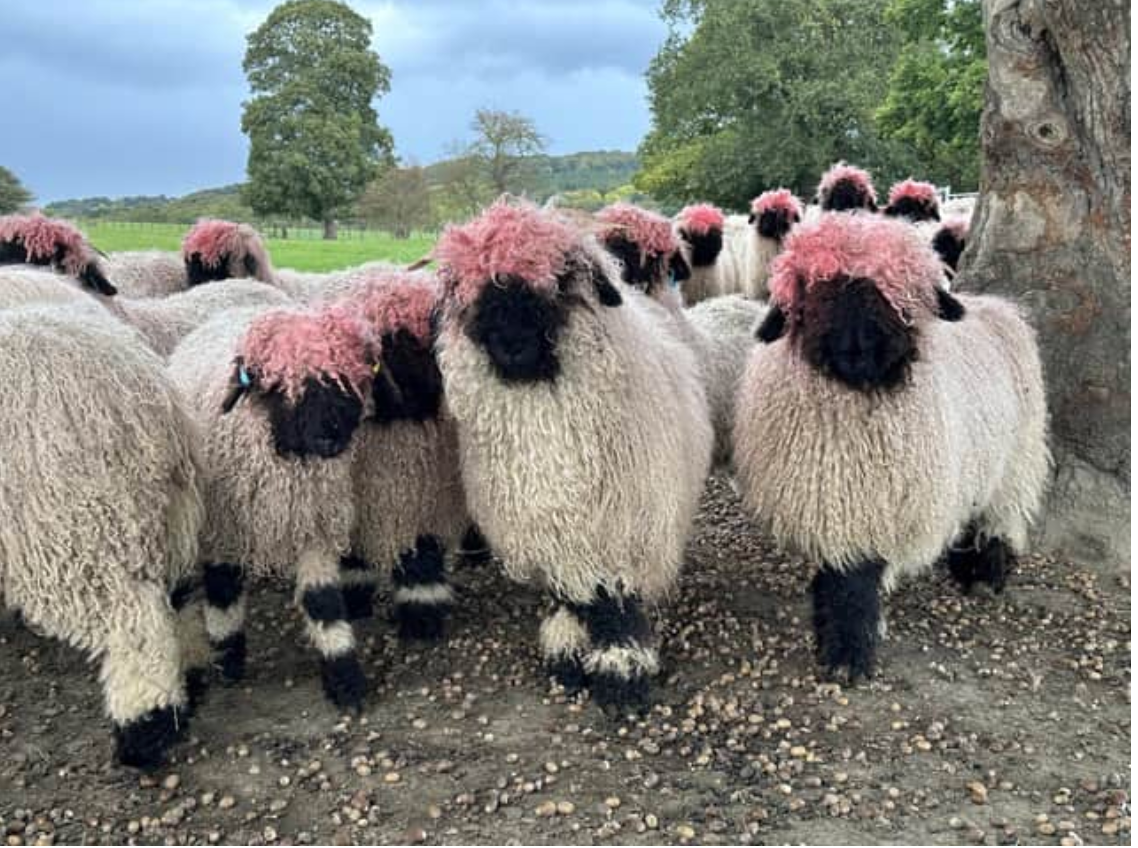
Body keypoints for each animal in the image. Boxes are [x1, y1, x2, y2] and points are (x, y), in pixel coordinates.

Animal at [167, 304, 380, 710]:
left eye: (345, 380)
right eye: (280, 388)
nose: (331, 438)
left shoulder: (315, 526)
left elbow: (322, 602)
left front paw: (345, 679)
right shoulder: (224, 528)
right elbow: (222, 589)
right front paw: (228, 657)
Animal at [323, 272, 469, 638]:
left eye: (413, 343)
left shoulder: (424, 505)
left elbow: (420, 566)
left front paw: (422, 624)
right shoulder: (357, 511)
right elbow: (353, 562)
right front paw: (355, 604)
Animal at [433, 199, 713, 709]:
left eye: (560, 280)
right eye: (472, 290)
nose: (511, 343)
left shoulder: (625, 523)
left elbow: (615, 598)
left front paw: (621, 668)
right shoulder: (550, 524)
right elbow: (575, 592)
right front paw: (567, 645)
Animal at [733, 213, 1049, 679]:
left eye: (897, 286)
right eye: (812, 287)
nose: (856, 345)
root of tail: (1000, 307)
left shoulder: (877, 501)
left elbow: (857, 580)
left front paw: (848, 656)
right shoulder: (836, 501)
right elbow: (840, 574)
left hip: (1016, 455)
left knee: (998, 514)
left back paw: (986, 573)